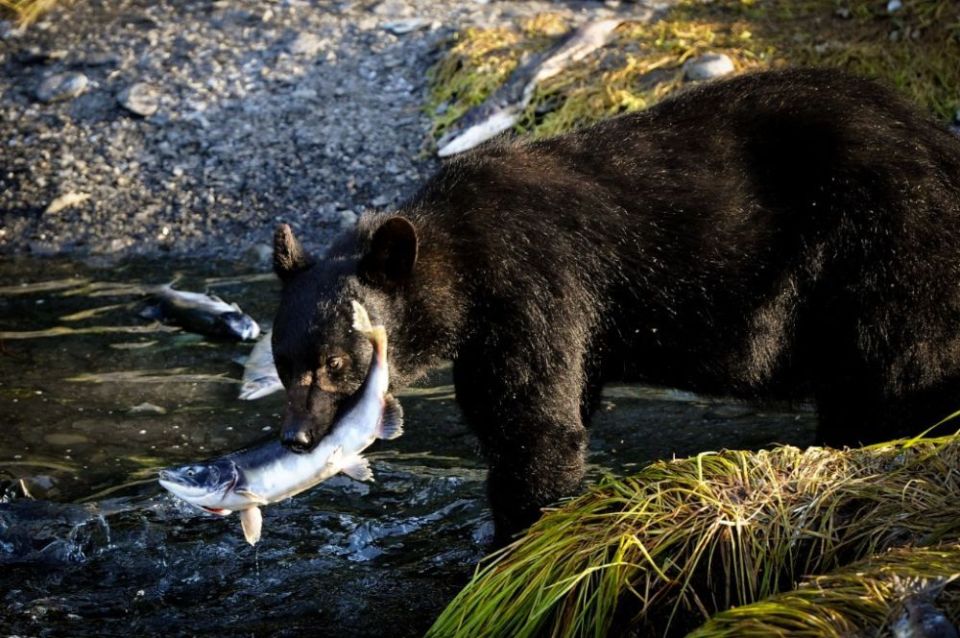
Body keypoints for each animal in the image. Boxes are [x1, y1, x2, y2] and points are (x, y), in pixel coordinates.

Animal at [269, 68, 960, 545]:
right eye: (283, 365)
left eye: (335, 364)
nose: (298, 439)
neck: (462, 257)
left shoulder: (532, 286)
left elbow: (533, 422)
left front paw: (512, 538)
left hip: (883, 246)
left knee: (898, 366)